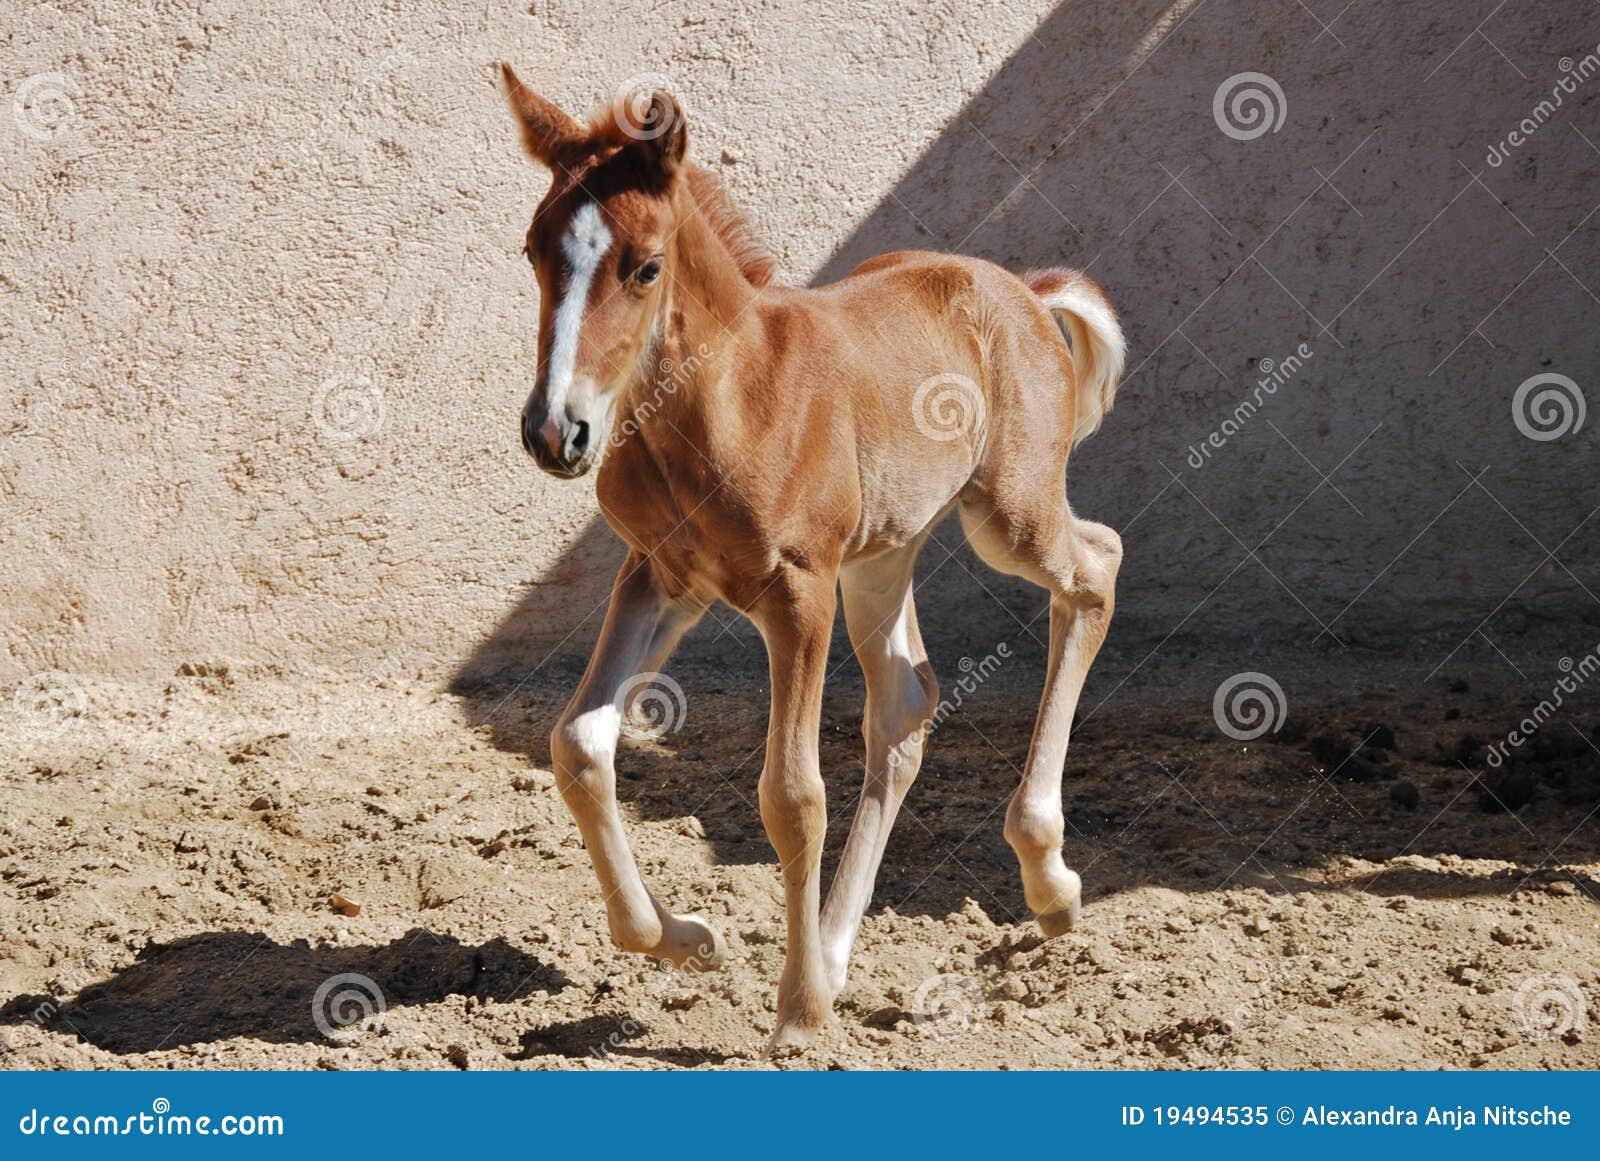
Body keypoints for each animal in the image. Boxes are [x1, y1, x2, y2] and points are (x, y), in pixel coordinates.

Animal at [497, 63, 1126, 1053]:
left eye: (645, 267)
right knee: (907, 702)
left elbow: (791, 796)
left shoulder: (799, 590)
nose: (557, 432)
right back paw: (837, 952)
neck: (721, 401)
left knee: (1095, 566)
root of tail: (1024, 290)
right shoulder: (662, 576)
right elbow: (577, 743)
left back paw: (1048, 881)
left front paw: (795, 1011)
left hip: (1005, 515)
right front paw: (686, 938)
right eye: (533, 252)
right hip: (882, 554)